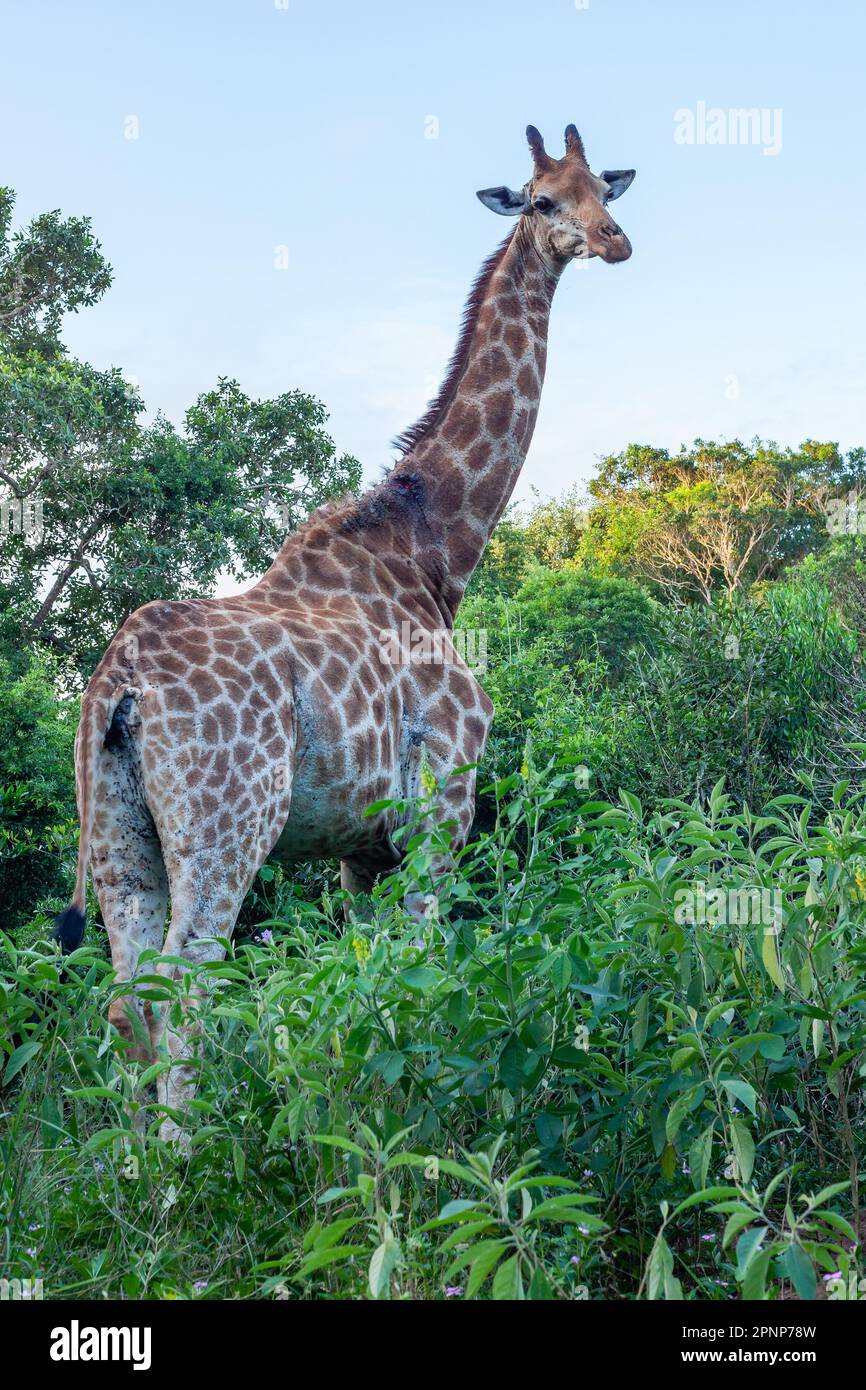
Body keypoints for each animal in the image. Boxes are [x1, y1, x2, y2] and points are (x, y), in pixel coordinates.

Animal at [54, 122, 635, 1143]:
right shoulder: (445, 802)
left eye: (604, 187)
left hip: (118, 836)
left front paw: (369, 1125)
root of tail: (114, 686)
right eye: (540, 201)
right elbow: (429, 974)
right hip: (227, 820)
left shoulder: (360, 847)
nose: (614, 241)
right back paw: (188, 1166)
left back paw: (137, 1173)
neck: (435, 553)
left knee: (127, 996)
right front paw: (438, 1130)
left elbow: (371, 987)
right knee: (189, 980)